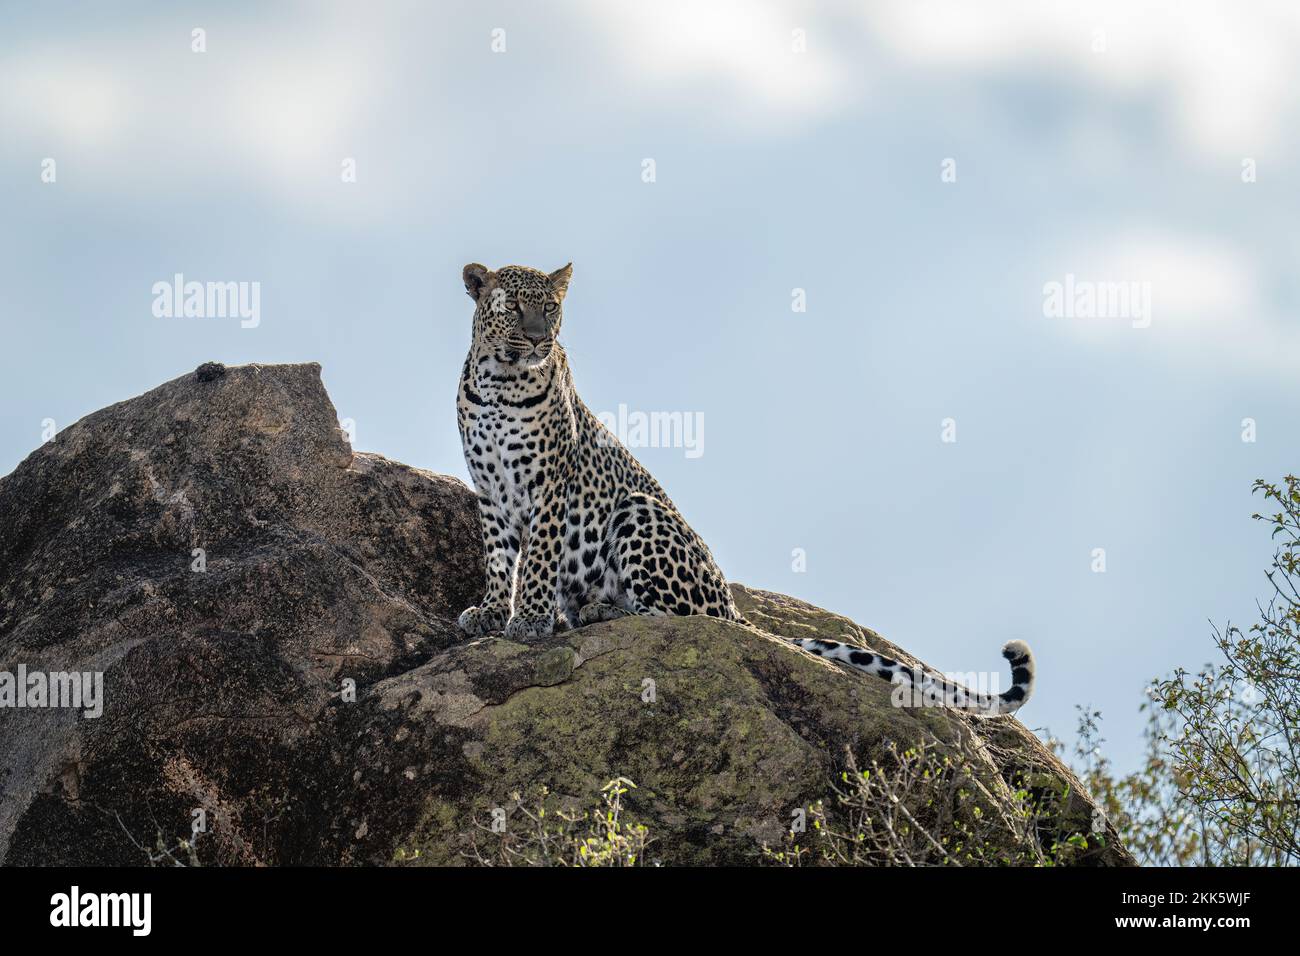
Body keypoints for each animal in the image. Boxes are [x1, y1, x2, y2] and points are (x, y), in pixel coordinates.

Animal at [453, 262, 1035, 717]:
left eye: (551, 308)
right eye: (514, 308)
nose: (538, 340)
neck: (501, 384)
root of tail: (735, 606)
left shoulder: (551, 484)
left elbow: (538, 557)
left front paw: (529, 620)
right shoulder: (490, 491)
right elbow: (499, 557)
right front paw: (491, 612)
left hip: (641, 512)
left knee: (683, 619)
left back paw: (603, 612)